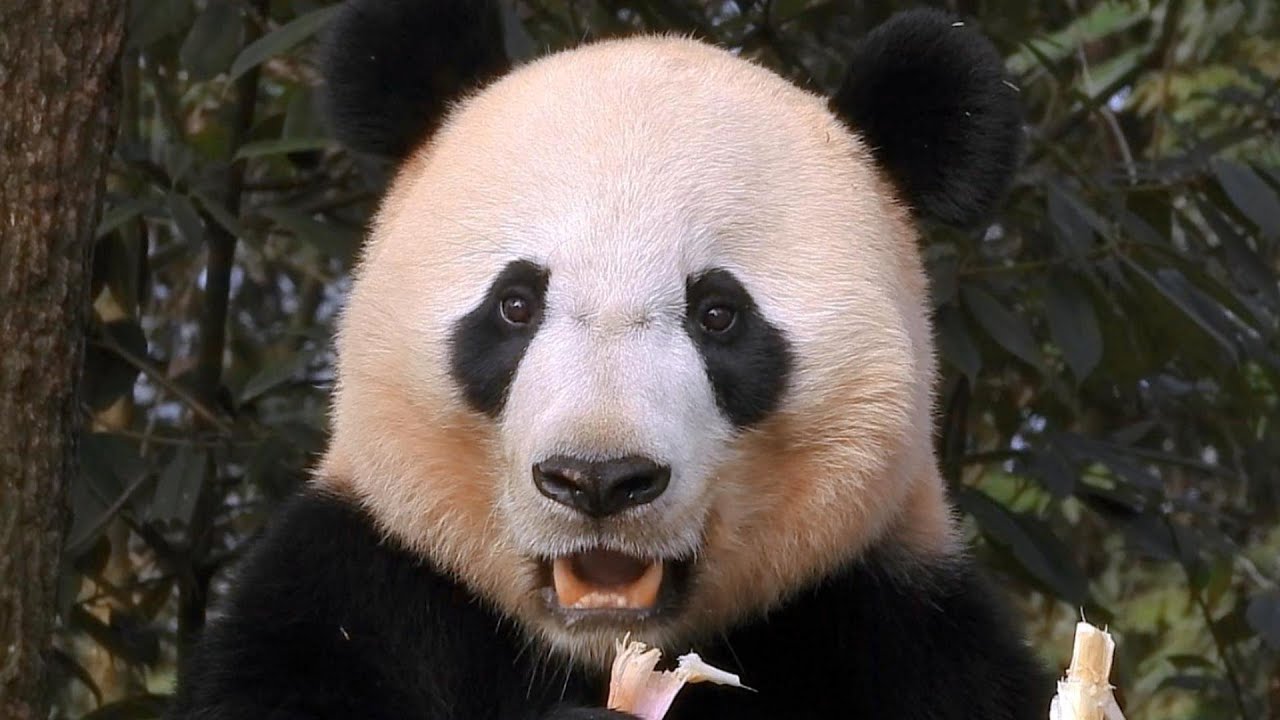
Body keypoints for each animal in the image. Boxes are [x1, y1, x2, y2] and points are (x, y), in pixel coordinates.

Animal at [169, 1, 1050, 718]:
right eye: (515, 305)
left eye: (719, 314)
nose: (598, 479)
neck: (602, 651)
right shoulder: (355, 591)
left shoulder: (896, 625)